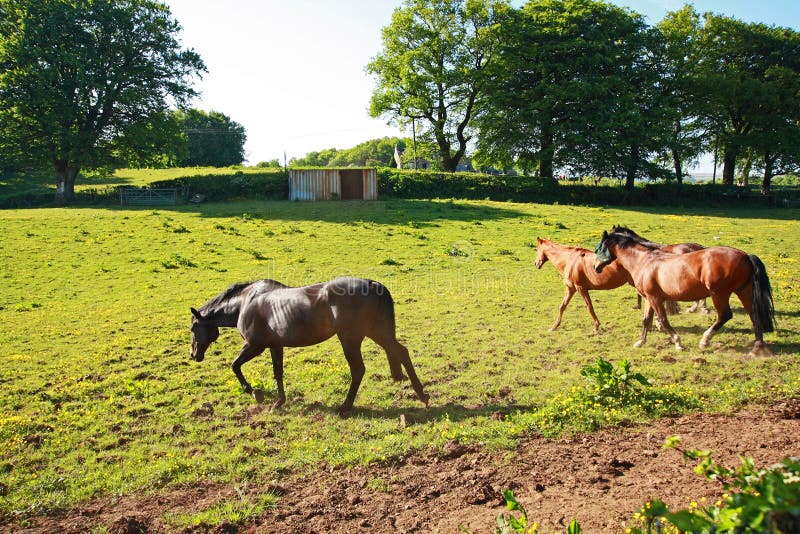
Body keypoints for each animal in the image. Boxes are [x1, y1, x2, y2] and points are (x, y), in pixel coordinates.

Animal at [189, 277, 430, 415]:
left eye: (193, 328)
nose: (193, 355)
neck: (246, 302)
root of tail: (372, 284)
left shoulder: (254, 346)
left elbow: (235, 365)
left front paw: (254, 392)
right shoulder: (275, 346)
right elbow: (278, 372)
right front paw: (279, 402)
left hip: (351, 339)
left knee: (358, 370)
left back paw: (345, 406)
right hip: (376, 332)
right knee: (401, 352)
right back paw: (422, 395)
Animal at [593, 229, 775, 356]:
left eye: (598, 248)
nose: (595, 268)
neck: (644, 261)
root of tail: (745, 256)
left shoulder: (655, 299)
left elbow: (664, 320)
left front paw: (678, 342)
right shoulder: (649, 299)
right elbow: (646, 320)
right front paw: (640, 342)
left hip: (719, 294)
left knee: (725, 316)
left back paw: (705, 340)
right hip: (744, 291)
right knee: (754, 315)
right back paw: (756, 348)